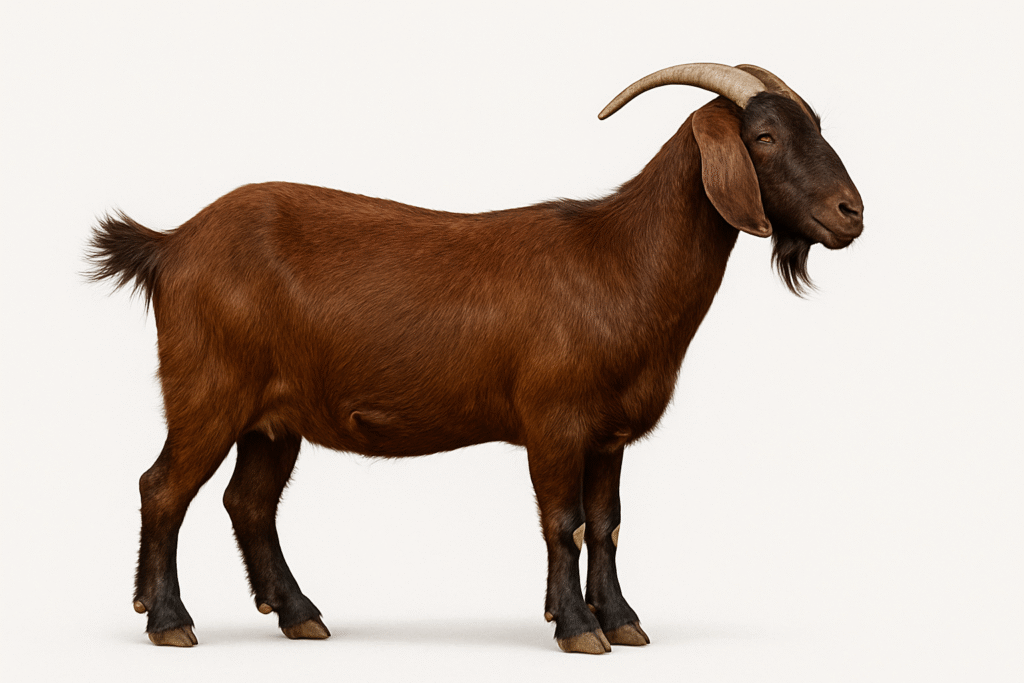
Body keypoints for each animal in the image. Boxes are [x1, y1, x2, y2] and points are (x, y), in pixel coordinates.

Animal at [87, 62, 863, 654]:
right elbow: (563, 523)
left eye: (817, 126)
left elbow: (607, 524)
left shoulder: (608, 432)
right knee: (163, 488)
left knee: (248, 501)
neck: (616, 259)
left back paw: (300, 614)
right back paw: (169, 621)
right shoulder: (553, 421)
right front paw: (577, 629)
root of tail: (172, 244)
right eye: (764, 136)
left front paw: (622, 621)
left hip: (273, 417)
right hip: (208, 389)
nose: (851, 212)